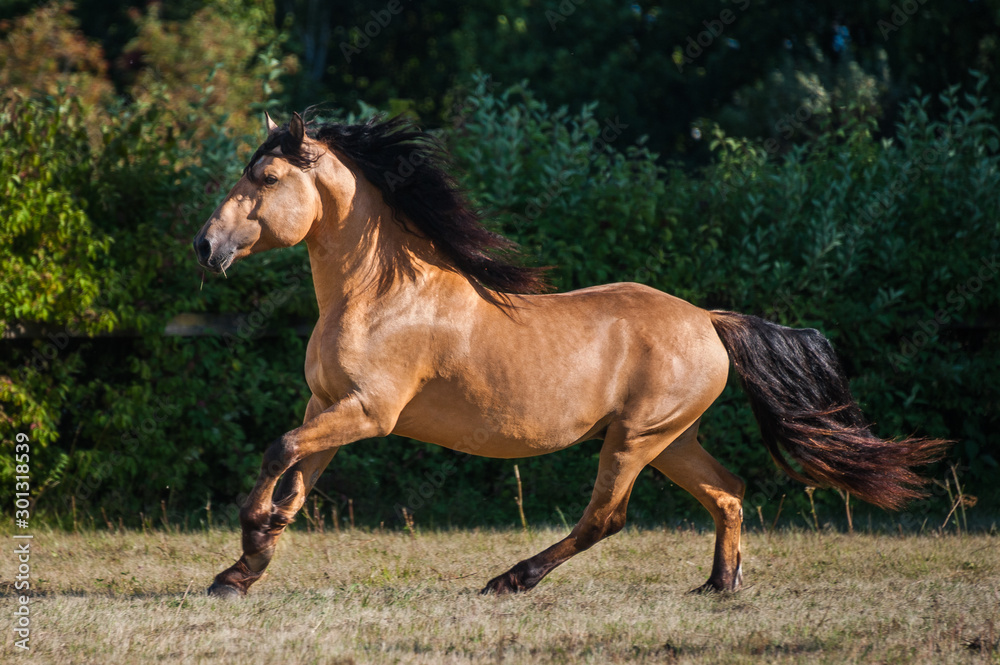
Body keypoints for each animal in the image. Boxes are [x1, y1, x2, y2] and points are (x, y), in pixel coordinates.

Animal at [192, 111, 949, 598]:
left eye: (266, 178)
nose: (205, 246)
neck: (381, 294)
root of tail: (709, 319)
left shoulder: (367, 412)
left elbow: (278, 452)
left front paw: (248, 542)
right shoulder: (328, 405)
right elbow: (295, 477)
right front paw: (241, 571)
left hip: (635, 438)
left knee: (606, 518)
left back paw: (510, 579)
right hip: (670, 438)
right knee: (728, 491)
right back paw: (718, 585)